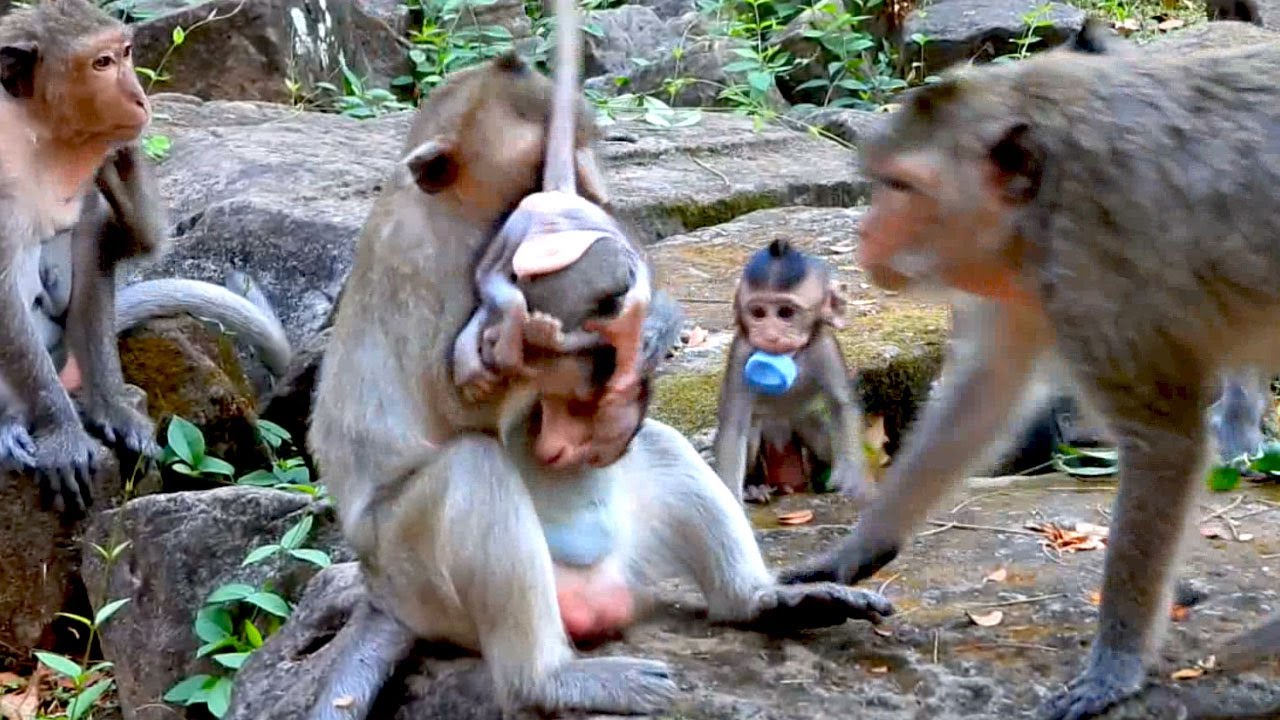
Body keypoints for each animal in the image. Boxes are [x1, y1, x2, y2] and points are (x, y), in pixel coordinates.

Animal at [711, 238, 871, 505]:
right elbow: (734, 425)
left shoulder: (824, 347)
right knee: (751, 436)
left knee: (820, 435)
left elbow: (841, 405)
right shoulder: (741, 352)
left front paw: (851, 477)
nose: (770, 335)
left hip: (803, 420)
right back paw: (754, 487)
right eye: (758, 313)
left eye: (786, 313)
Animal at [773, 32, 1280, 720]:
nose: (865, 229)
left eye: (903, 187)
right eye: (882, 184)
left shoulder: (1092, 276)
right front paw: (853, 553)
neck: (1043, 200)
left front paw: (1116, 665)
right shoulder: (1021, 280)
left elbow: (1165, 442)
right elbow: (982, 393)